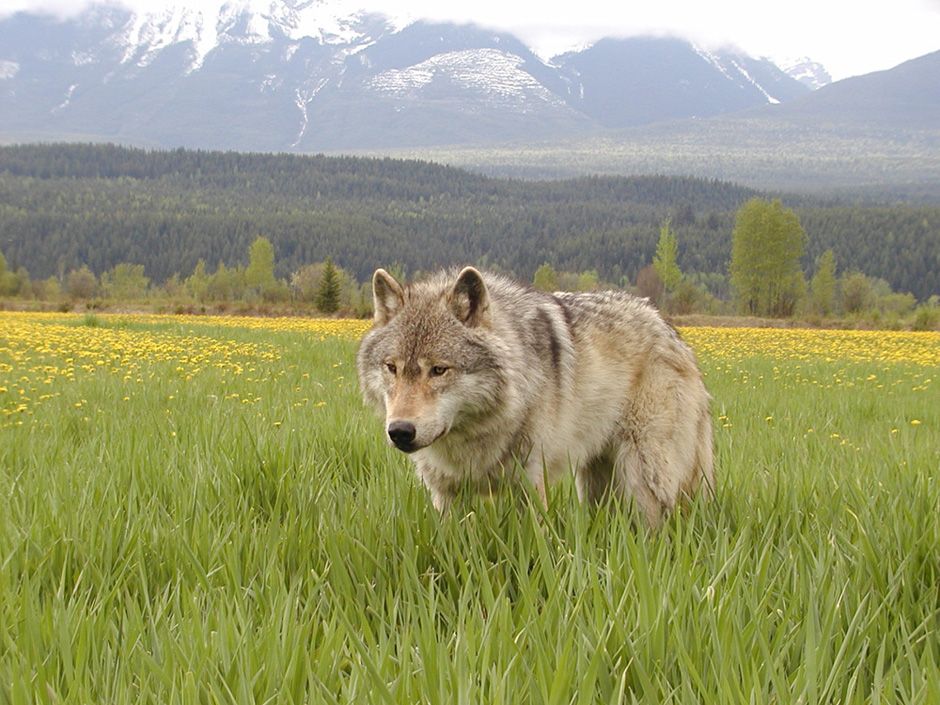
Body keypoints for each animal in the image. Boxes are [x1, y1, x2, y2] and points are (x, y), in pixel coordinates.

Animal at [356, 266, 714, 526]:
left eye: (439, 370)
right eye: (392, 368)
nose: (400, 431)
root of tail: (670, 328)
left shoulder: (530, 484)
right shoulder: (445, 494)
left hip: (643, 477)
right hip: (594, 482)